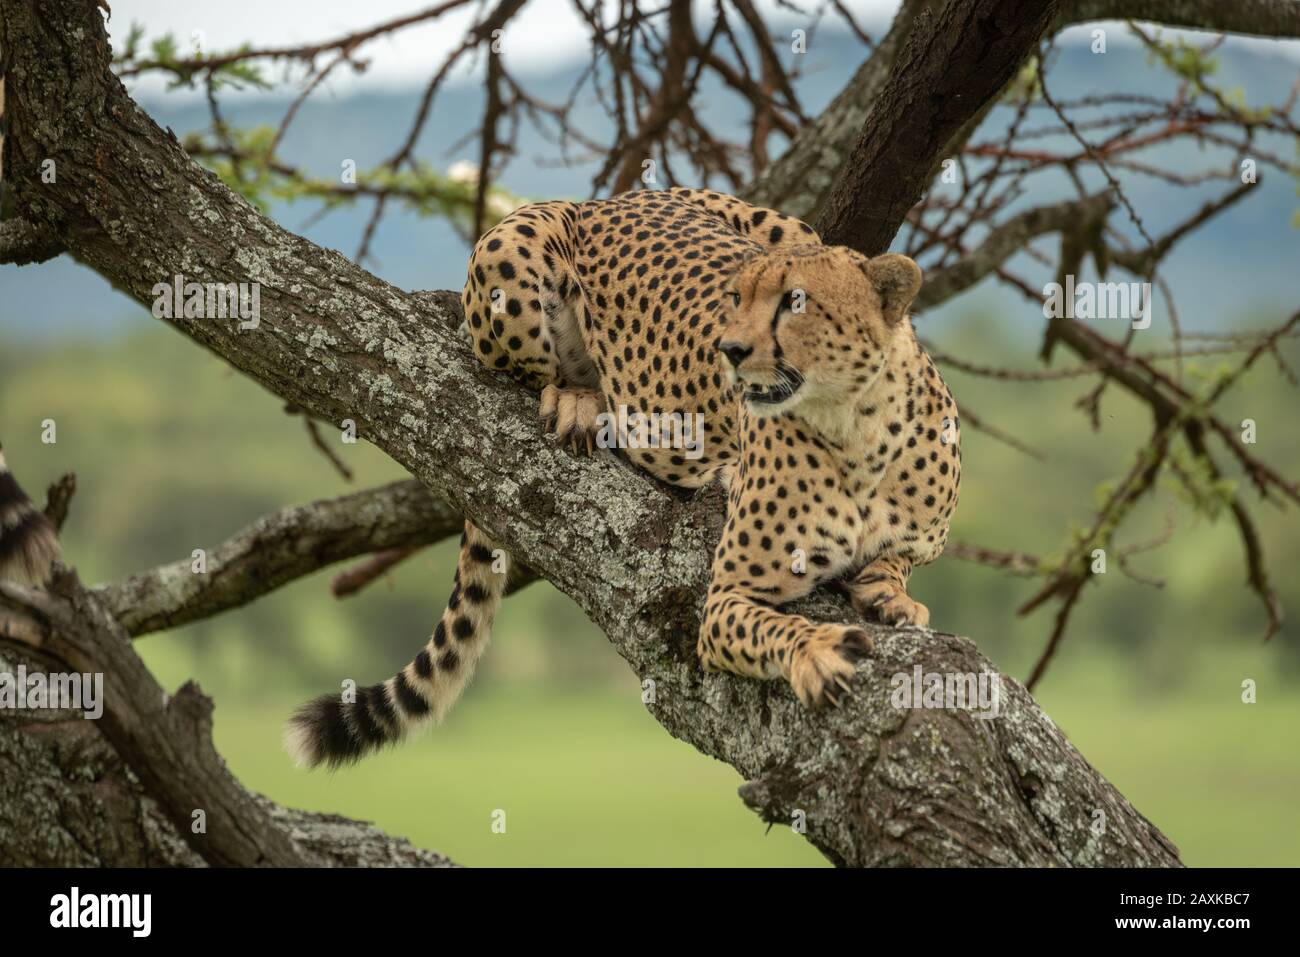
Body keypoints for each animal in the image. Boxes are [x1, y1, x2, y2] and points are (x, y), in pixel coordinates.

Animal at [284, 186, 961, 768]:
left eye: (795, 302)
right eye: (736, 298)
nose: (730, 349)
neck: (858, 426)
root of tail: (616, 197)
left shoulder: (919, 539)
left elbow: (899, 559)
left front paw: (891, 593)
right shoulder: (725, 600)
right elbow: (773, 623)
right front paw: (819, 651)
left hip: (789, 226)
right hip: (513, 247)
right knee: (530, 373)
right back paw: (580, 400)